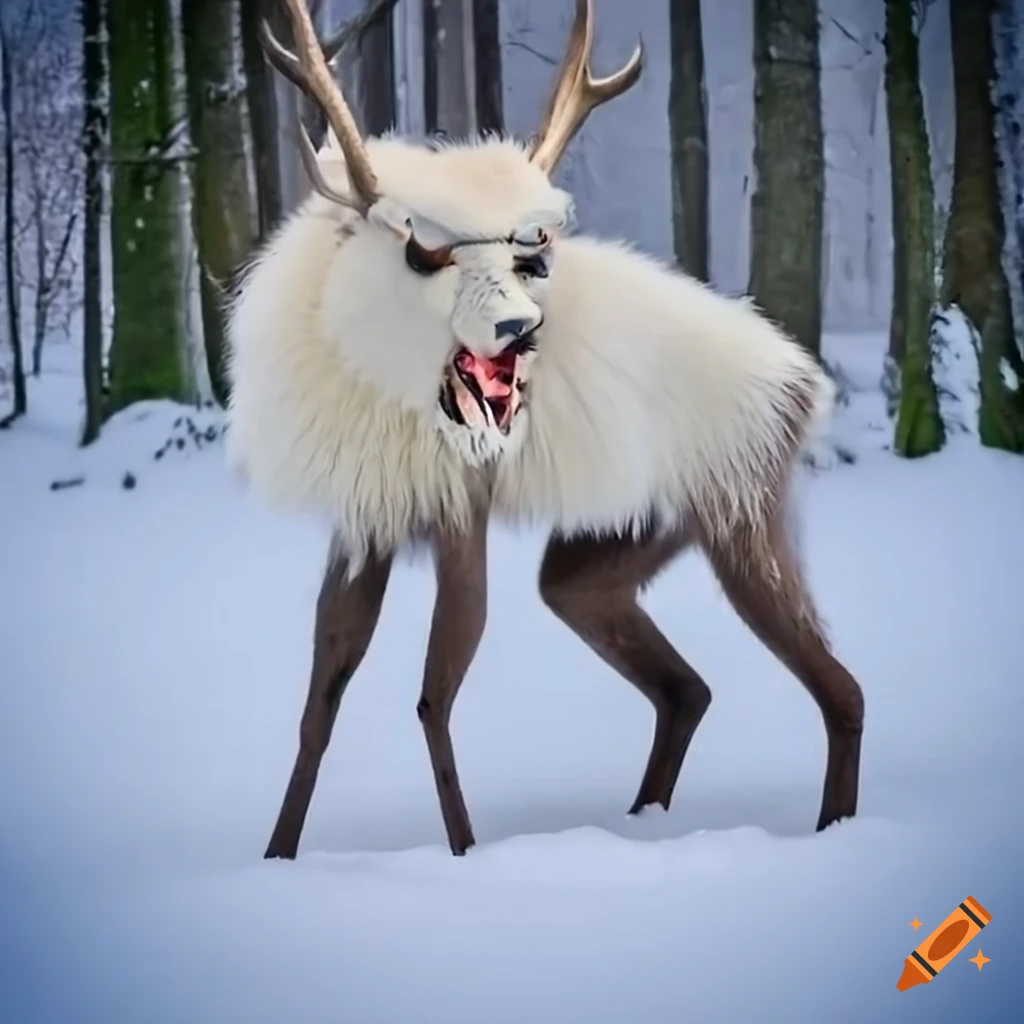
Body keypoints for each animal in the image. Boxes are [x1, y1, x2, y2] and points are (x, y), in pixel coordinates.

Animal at [225, 0, 865, 860]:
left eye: (523, 255)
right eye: (423, 250)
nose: (521, 332)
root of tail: (805, 386)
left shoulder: (459, 510)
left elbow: (432, 696)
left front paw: (465, 853)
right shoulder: (368, 520)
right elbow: (319, 703)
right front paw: (276, 857)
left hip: (740, 520)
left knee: (840, 689)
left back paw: (833, 832)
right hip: (600, 560)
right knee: (686, 688)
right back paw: (641, 821)